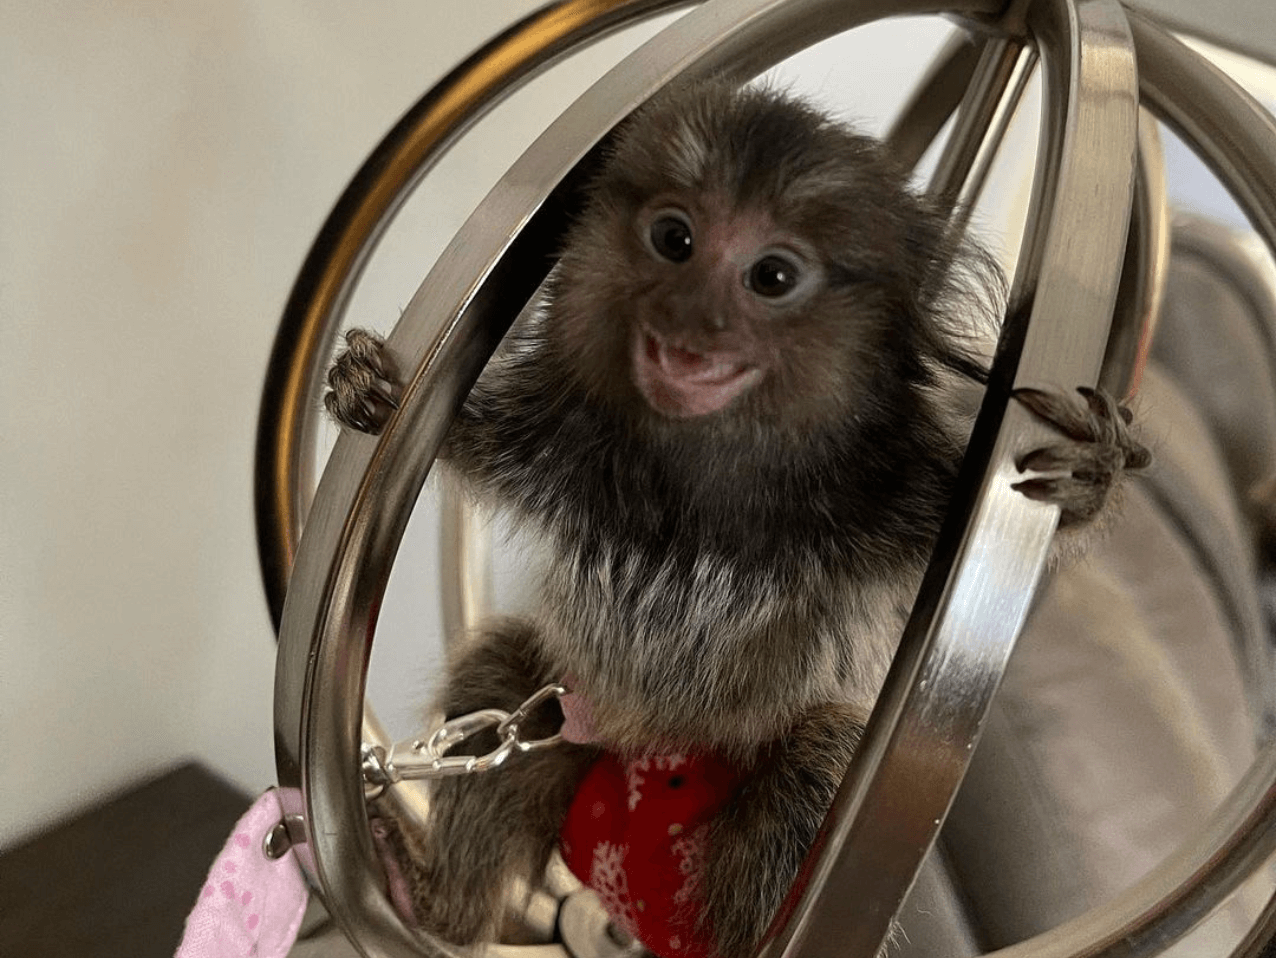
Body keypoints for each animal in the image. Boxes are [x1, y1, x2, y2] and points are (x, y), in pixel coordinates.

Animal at [324, 79, 1150, 957]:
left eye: (773, 276)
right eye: (674, 239)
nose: (691, 319)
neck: (707, 467)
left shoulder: (891, 494)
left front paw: (1091, 479)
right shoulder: (561, 447)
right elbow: (480, 453)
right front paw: (370, 394)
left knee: (817, 763)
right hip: (576, 729)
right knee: (503, 680)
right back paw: (431, 901)